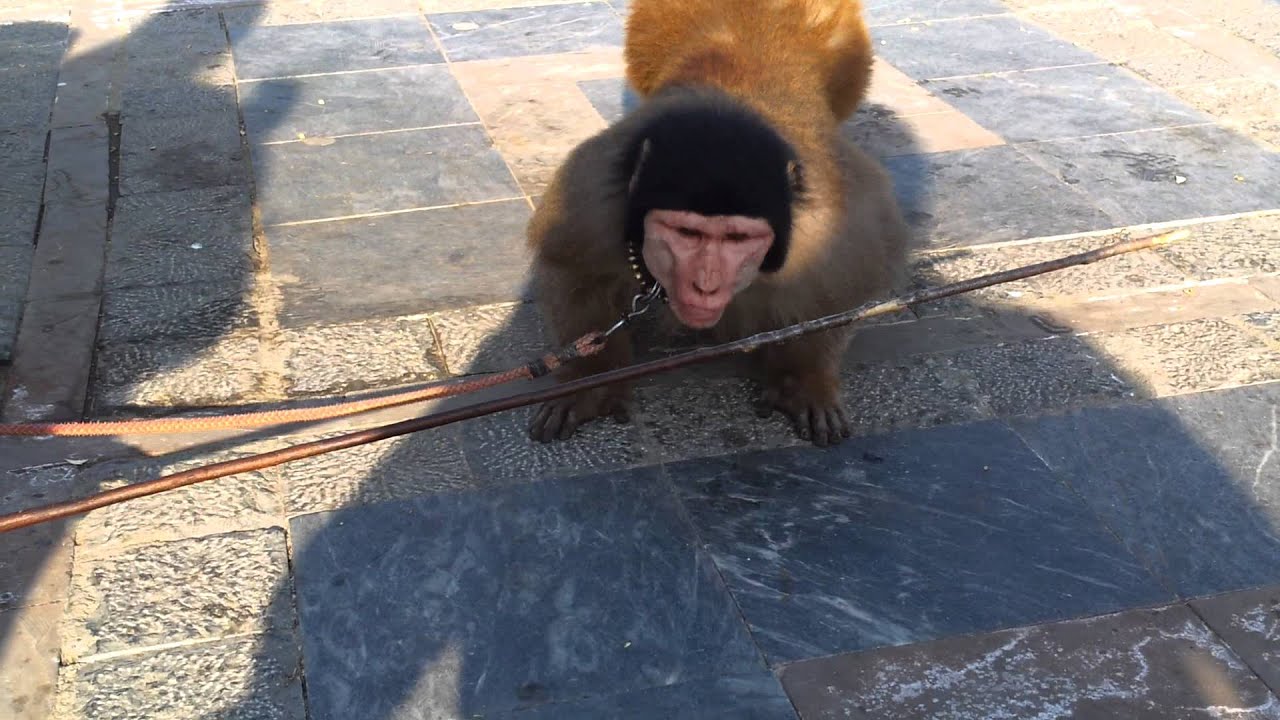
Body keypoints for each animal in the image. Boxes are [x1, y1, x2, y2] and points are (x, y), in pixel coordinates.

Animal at [524, 0, 910, 447]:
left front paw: (802, 378)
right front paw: (592, 381)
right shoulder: (590, 205)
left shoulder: (840, 224)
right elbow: (575, 272)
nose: (705, 283)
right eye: (686, 233)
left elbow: (836, 292)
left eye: (738, 237)